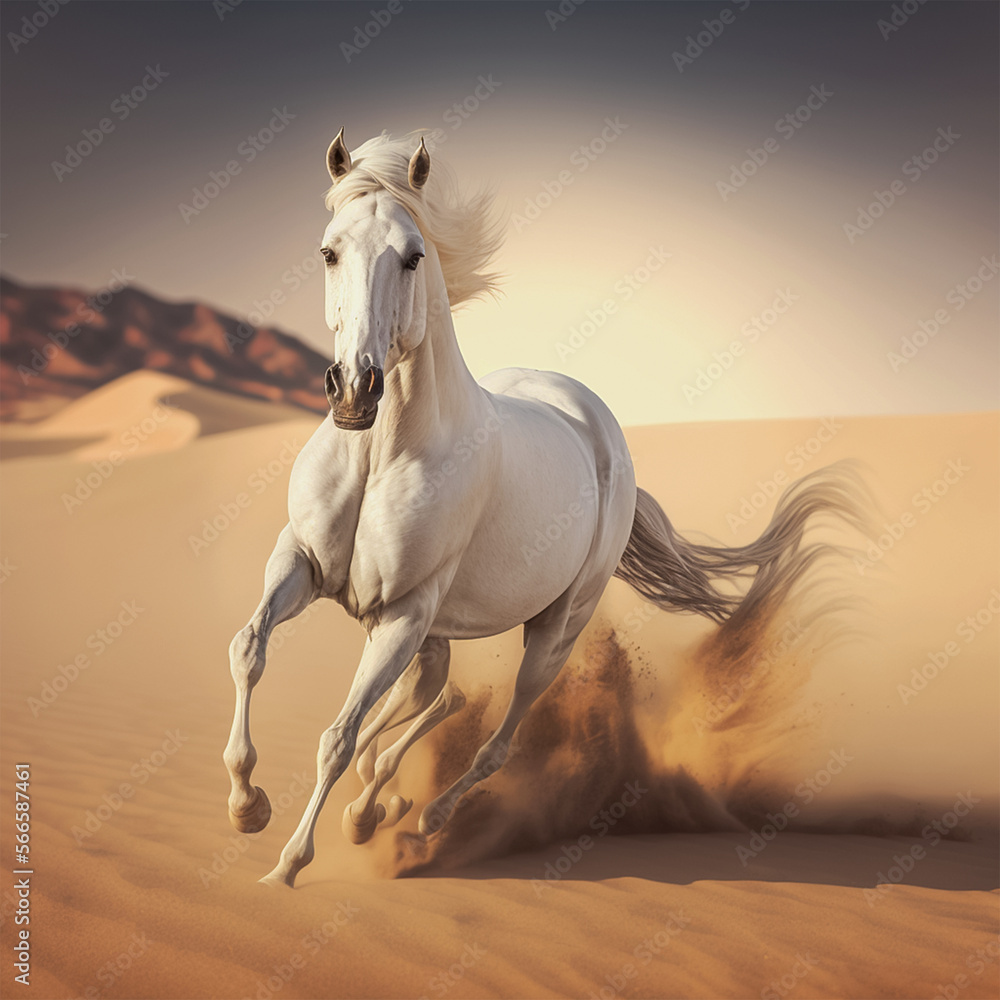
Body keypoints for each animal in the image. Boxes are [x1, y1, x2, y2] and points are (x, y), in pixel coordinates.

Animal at [222, 130, 867, 888]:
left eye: (413, 256)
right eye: (329, 251)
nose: (355, 389)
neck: (380, 454)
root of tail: (596, 421)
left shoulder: (405, 610)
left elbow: (338, 736)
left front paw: (286, 867)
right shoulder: (301, 564)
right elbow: (248, 651)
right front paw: (247, 806)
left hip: (549, 629)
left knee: (491, 734)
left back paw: (423, 818)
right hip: (430, 630)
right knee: (438, 696)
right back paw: (374, 808)